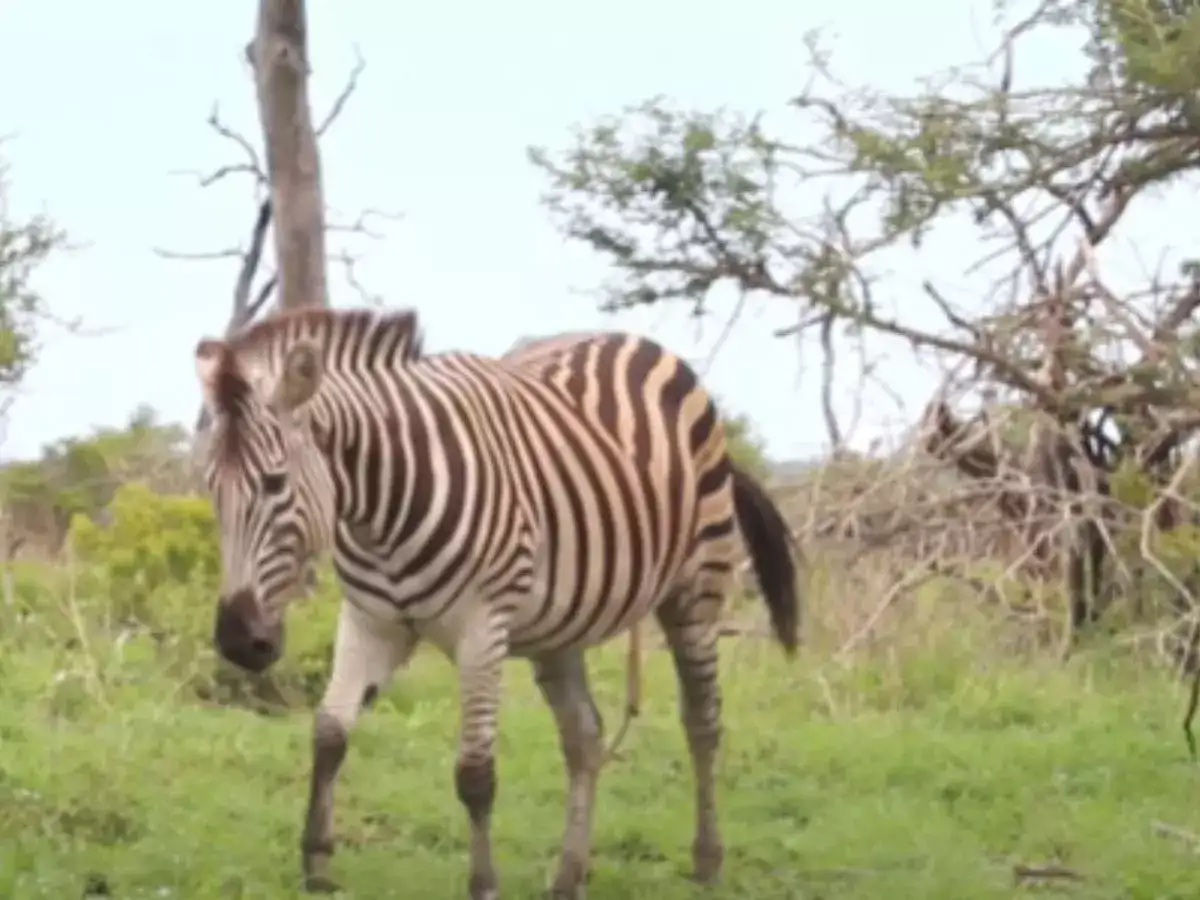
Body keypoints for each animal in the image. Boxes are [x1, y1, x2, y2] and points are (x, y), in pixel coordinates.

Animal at [193, 306, 800, 899]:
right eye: (210, 487)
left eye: (275, 483)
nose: (239, 641)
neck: (380, 511)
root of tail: (633, 339)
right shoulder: (370, 619)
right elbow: (328, 734)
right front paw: (317, 863)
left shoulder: (482, 628)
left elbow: (475, 773)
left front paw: (484, 884)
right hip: (563, 624)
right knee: (585, 737)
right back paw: (568, 876)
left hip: (696, 590)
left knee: (702, 721)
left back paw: (707, 860)